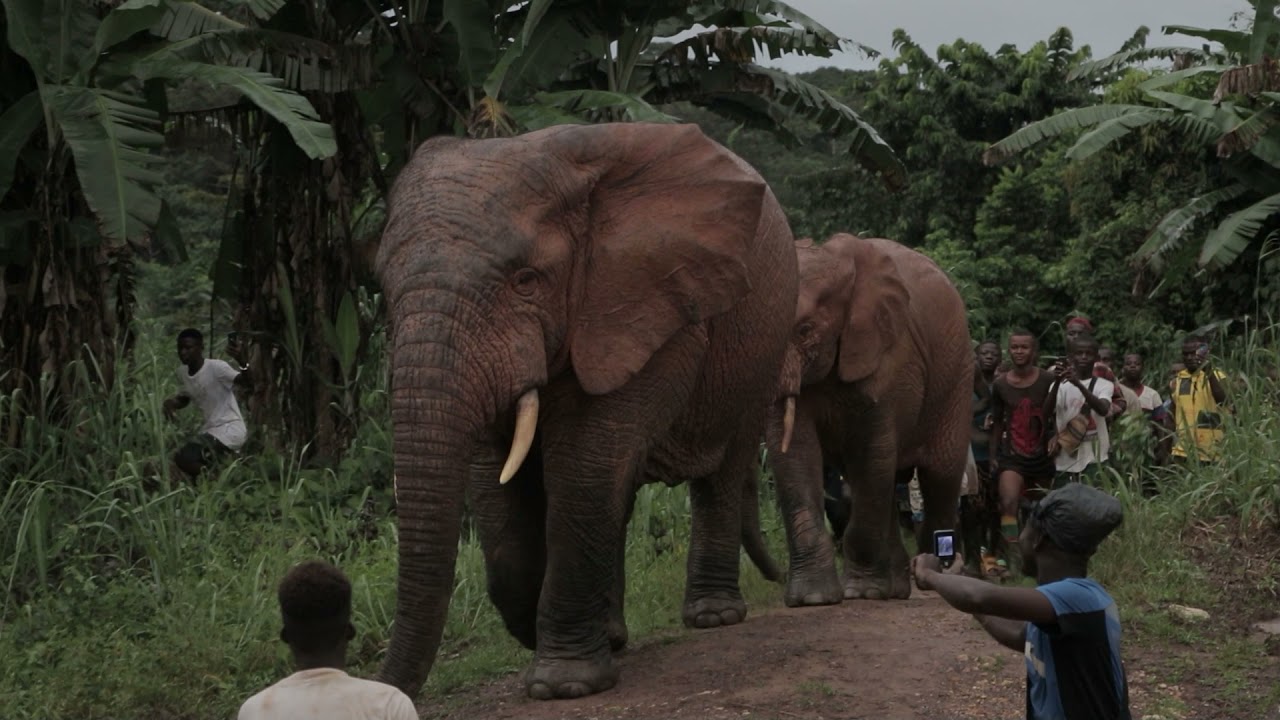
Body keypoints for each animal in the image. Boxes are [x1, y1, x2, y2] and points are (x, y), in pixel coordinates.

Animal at [371, 123, 798, 701]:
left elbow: (583, 466)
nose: (379, 689)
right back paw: (615, 633)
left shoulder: (641, 308)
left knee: (720, 472)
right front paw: (560, 636)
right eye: (383, 288)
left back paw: (712, 617)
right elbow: (500, 487)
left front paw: (564, 685)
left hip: (762, 342)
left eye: (526, 281)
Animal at [762, 233, 972, 606]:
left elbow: (871, 451)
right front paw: (812, 599)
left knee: (939, 474)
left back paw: (936, 576)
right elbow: (795, 454)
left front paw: (862, 593)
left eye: (804, 329)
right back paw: (897, 589)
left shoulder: (892, 357)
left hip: (958, 375)